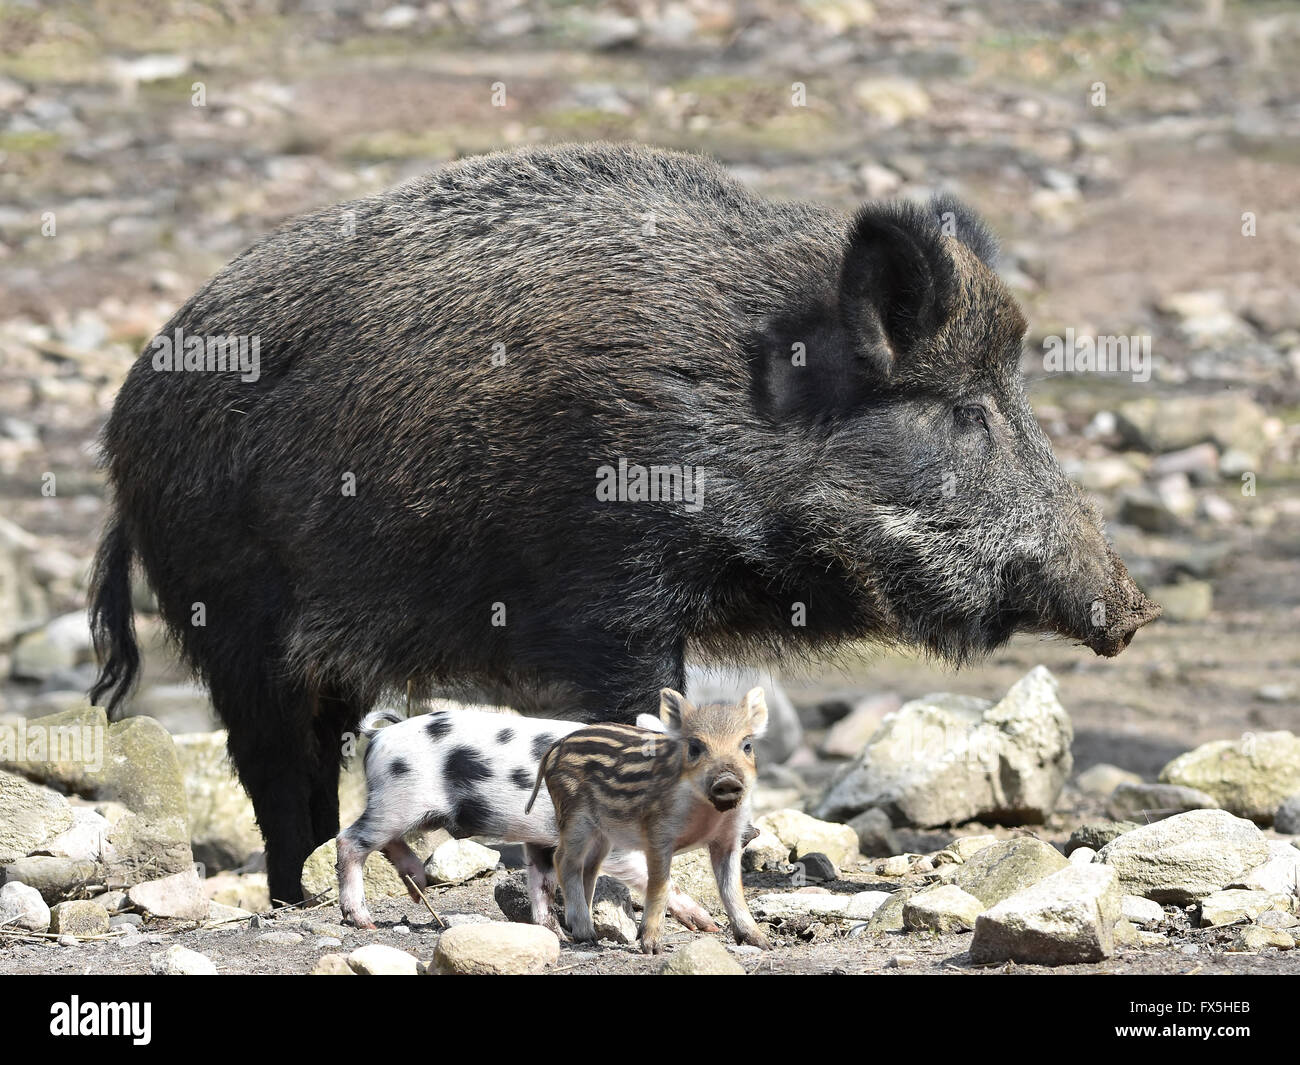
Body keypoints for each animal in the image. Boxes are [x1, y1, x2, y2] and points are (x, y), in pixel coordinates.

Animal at [88, 142, 1160, 905]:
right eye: (968, 412)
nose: (1130, 607)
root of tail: (126, 420)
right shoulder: (613, 592)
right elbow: (639, 714)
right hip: (230, 623)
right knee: (278, 776)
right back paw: (299, 901)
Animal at [335, 702, 715, 931]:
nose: (748, 830)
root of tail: (380, 735)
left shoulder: (541, 840)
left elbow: (543, 883)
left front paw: (554, 931)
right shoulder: (613, 842)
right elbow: (652, 876)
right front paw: (708, 924)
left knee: (385, 843)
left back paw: (418, 887)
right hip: (399, 799)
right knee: (349, 840)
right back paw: (363, 921)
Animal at [529, 686, 770, 954]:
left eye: (747, 745)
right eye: (695, 747)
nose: (727, 780)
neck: (709, 813)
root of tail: (557, 746)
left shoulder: (728, 840)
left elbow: (733, 890)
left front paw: (762, 942)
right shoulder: (658, 834)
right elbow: (659, 886)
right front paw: (652, 947)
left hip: (602, 835)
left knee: (588, 867)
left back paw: (590, 933)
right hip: (575, 818)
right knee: (564, 860)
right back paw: (585, 933)